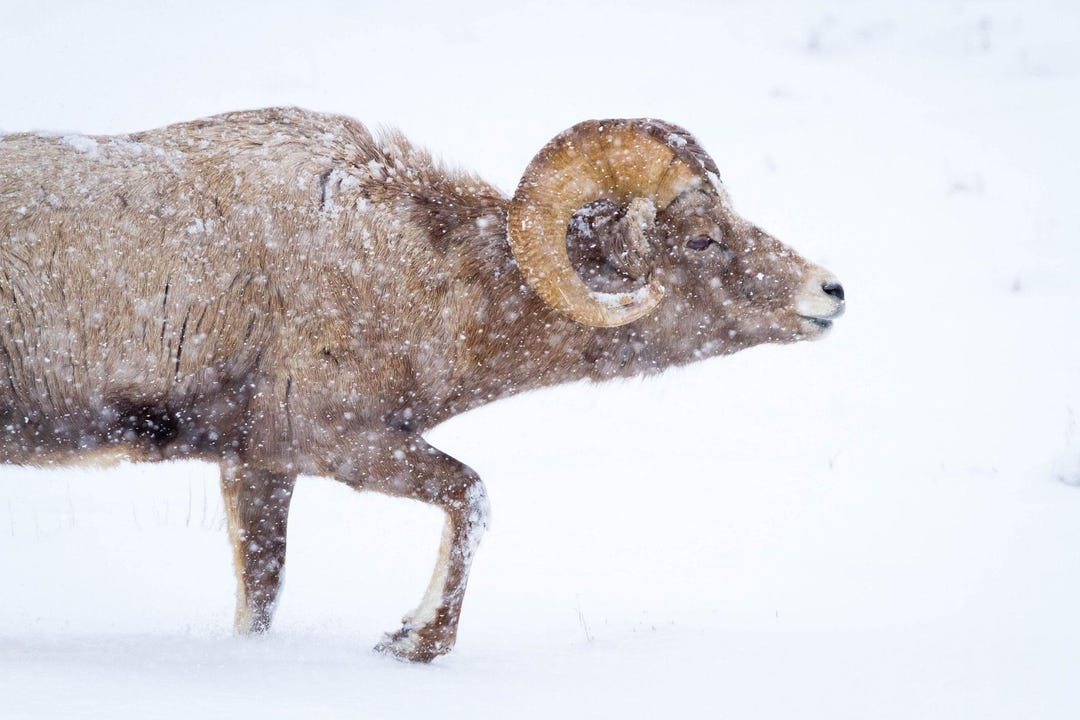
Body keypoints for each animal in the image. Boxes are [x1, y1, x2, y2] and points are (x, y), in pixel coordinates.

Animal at [0, 107, 844, 661]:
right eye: (701, 239)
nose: (830, 292)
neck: (411, 271)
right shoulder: (337, 441)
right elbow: (470, 496)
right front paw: (414, 641)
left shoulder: (257, 467)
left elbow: (260, 598)